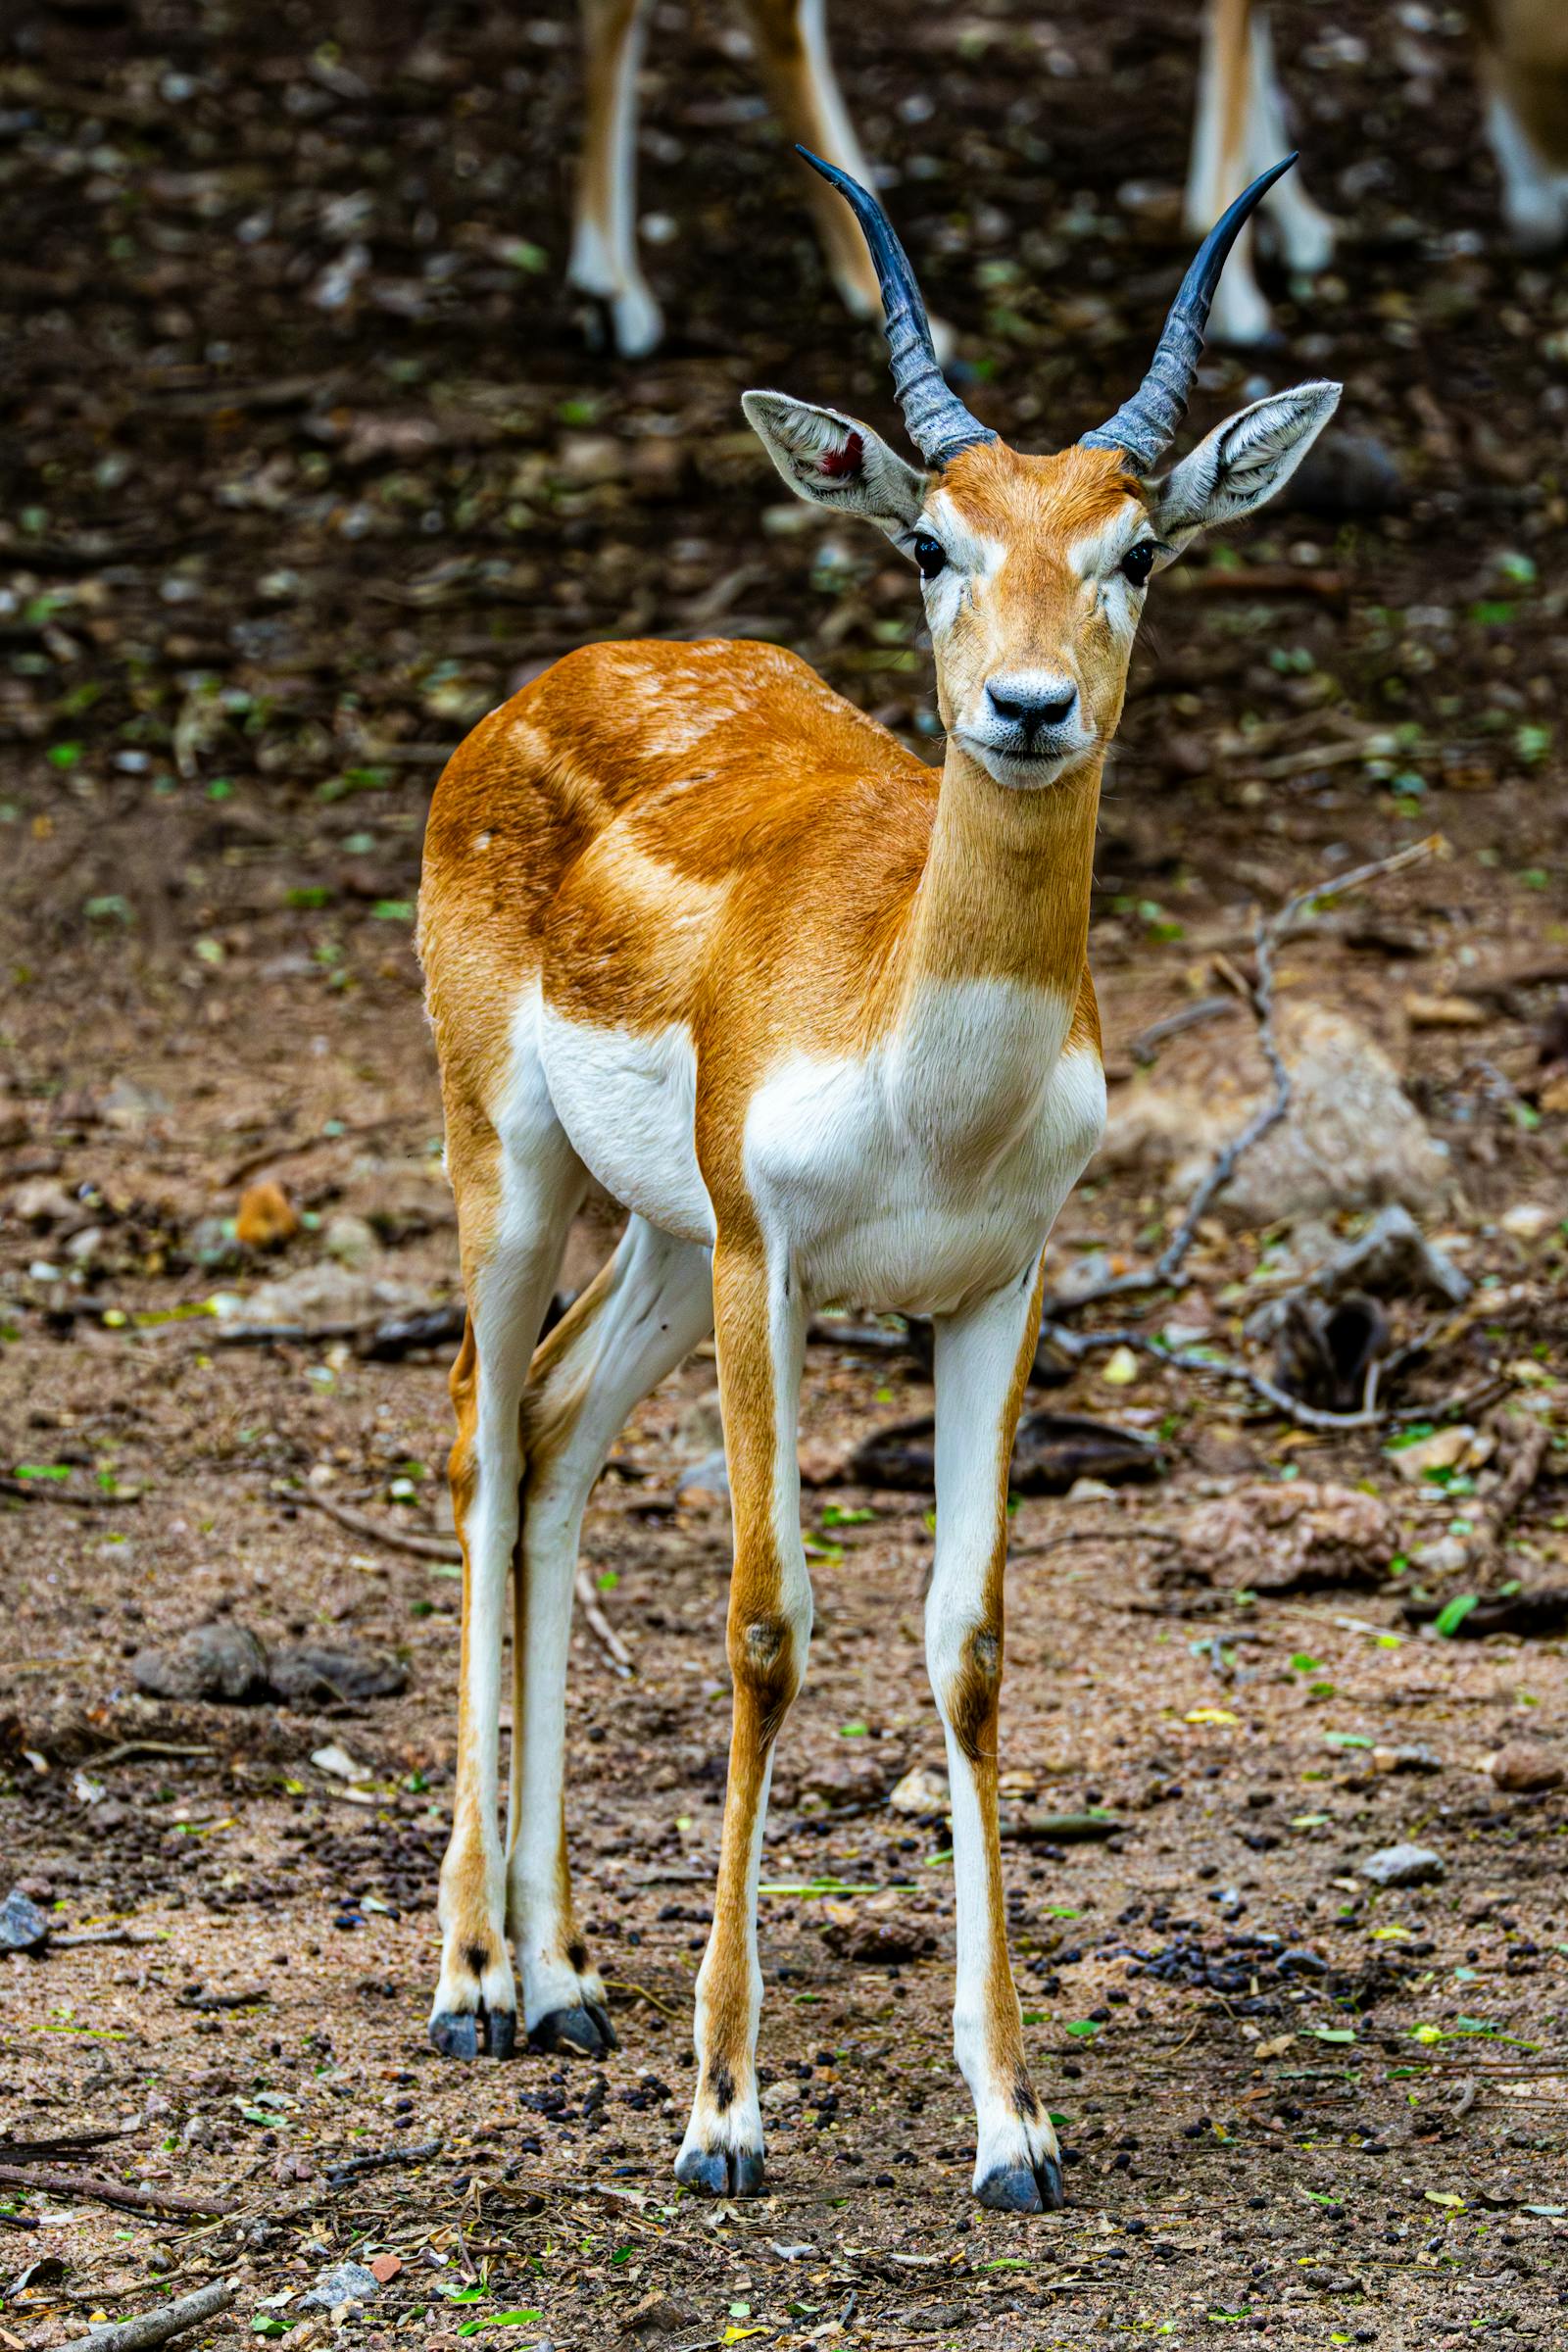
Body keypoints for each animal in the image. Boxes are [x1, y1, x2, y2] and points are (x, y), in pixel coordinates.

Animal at [418, 148, 1339, 2211]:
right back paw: (473, 1980)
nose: (1026, 709)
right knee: (479, 1443)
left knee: (556, 1440)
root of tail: (557, 675)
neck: (929, 1066)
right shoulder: (775, 1267)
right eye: (927, 542)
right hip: (513, 1163)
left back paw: (569, 1978)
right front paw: (723, 2116)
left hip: (659, 1248)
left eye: (1136, 553)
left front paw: (1013, 2125)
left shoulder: (1000, 1287)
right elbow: (767, 1630)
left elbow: (969, 1647)